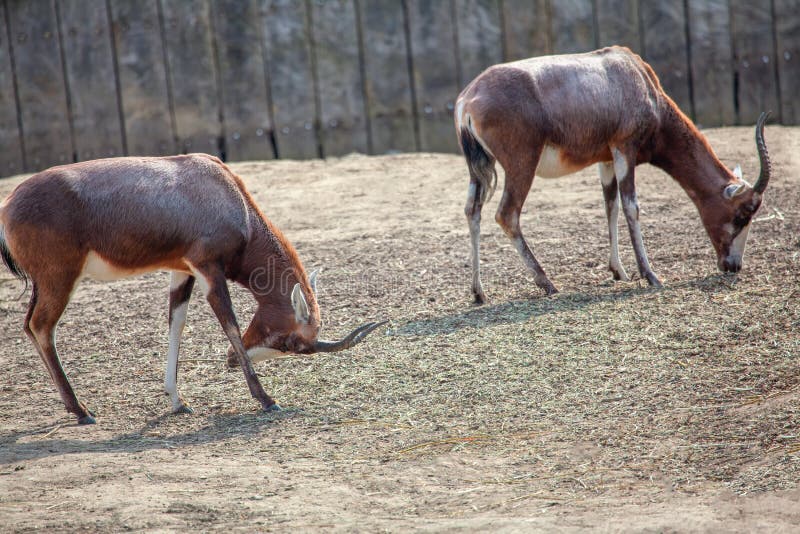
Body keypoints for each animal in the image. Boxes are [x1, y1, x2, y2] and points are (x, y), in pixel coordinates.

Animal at [0, 153, 385, 424]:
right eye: (289, 343)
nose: (230, 361)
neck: (225, 190)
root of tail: (8, 206)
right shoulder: (209, 270)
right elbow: (229, 323)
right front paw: (267, 400)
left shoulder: (181, 271)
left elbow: (177, 324)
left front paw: (177, 401)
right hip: (60, 279)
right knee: (42, 326)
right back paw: (82, 411)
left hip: (44, 283)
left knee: (29, 325)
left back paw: (74, 407)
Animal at [455, 46, 771, 303]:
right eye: (743, 214)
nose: (733, 266)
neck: (636, 77)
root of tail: (468, 98)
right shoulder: (624, 149)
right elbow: (631, 206)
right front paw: (650, 275)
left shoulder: (606, 159)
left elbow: (611, 205)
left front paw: (619, 271)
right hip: (522, 165)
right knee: (507, 214)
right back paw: (547, 283)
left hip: (479, 169)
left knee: (472, 210)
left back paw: (479, 292)